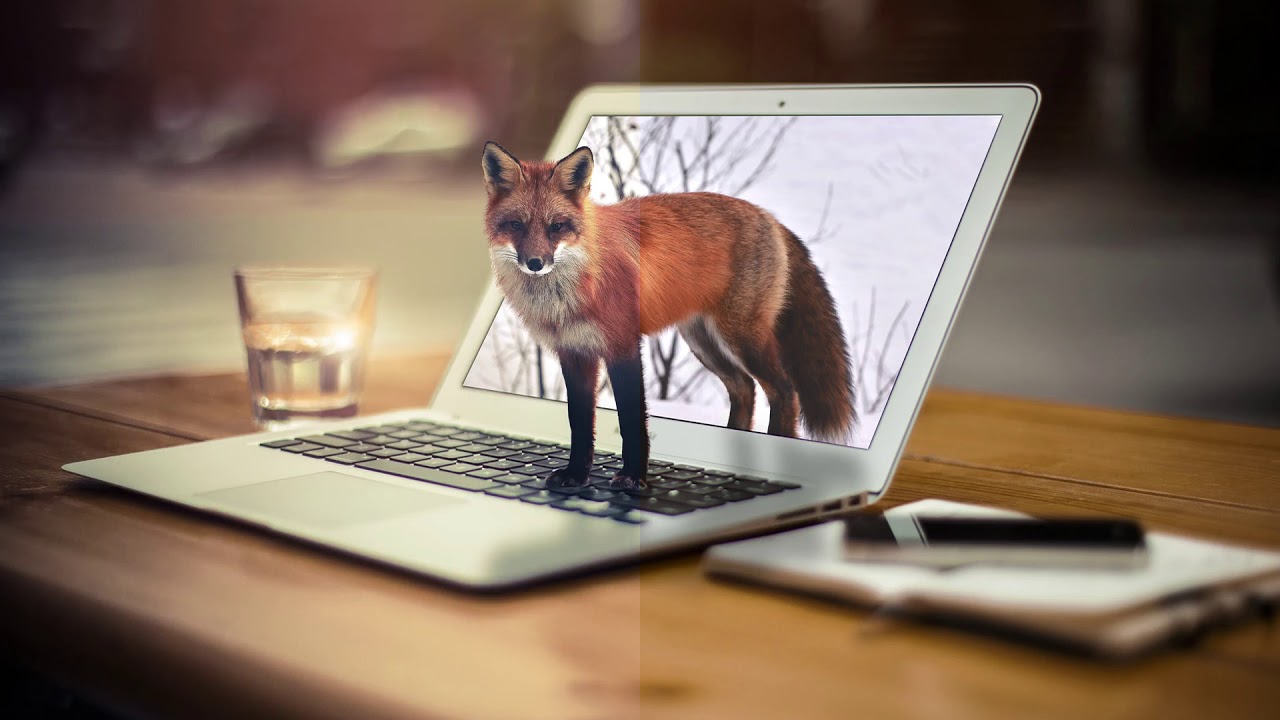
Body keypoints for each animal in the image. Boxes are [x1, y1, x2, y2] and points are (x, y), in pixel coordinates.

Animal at [481, 141, 855, 489]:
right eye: (516, 225)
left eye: (556, 226)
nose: (535, 263)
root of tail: (769, 217)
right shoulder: (574, 353)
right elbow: (579, 423)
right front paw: (576, 475)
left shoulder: (622, 346)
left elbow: (632, 420)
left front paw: (633, 478)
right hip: (703, 342)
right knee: (744, 388)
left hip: (742, 336)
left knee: (784, 391)